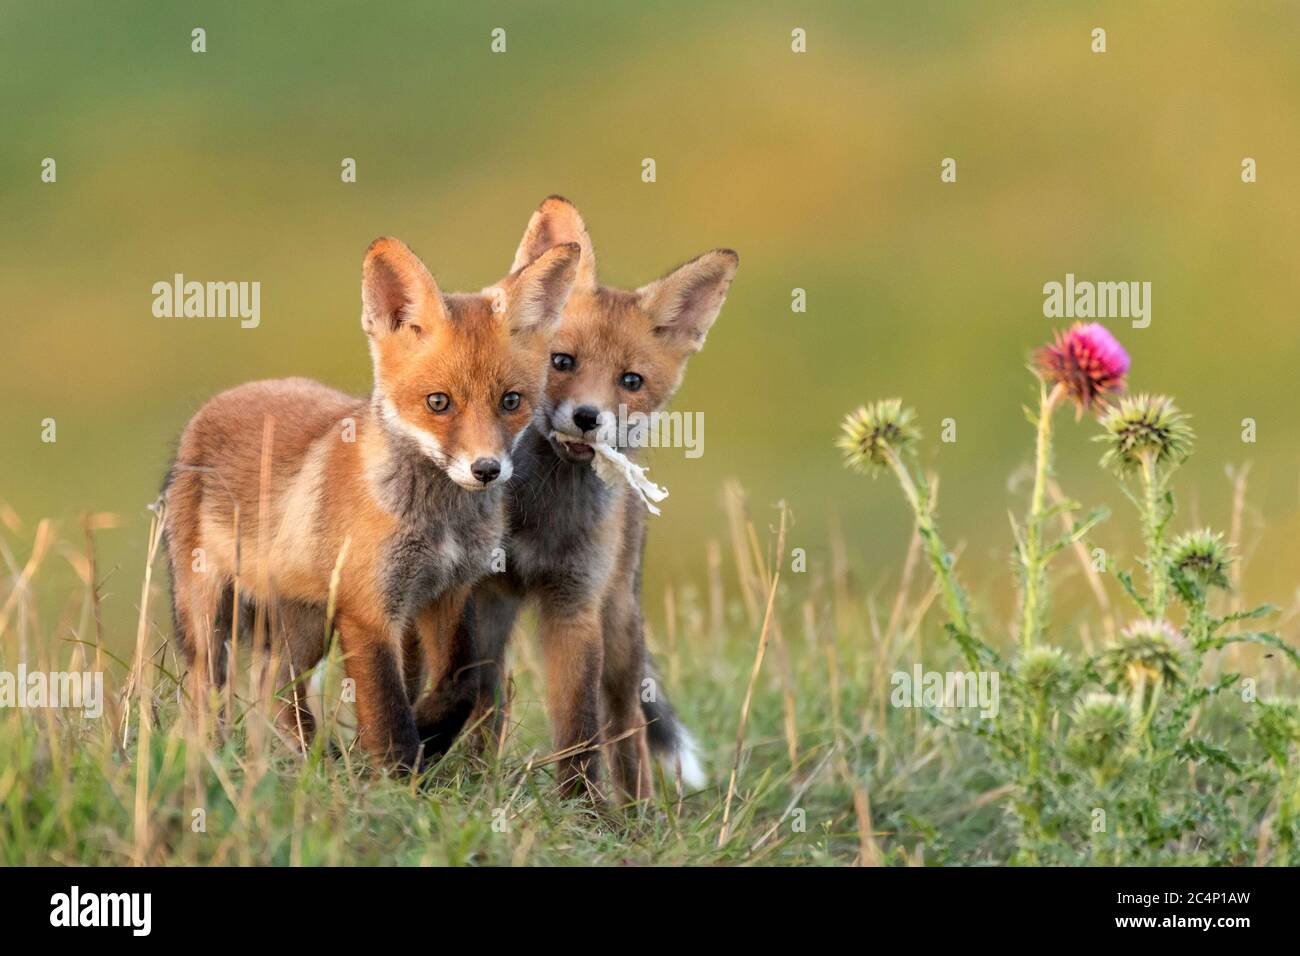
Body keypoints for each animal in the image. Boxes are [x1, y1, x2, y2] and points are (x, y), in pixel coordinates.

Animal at [161, 235, 580, 769]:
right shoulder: (369, 609)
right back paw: (214, 760)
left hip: (308, 620)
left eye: (511, 401)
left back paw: (312, 761)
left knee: (273, 686)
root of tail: (213, 406)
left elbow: (461, 684)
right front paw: (398, 772)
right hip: (209, 615)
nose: (486, 469)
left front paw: (430, 734)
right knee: (207, 694)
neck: (438, 523)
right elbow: (386, 709)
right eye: (438, 402)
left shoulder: (448, 592)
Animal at [456, 196, 738, 799]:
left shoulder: (575, 603)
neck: (539, 514)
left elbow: (579, 728)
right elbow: (478, 698)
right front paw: (461, 781)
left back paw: (637, 811)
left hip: (621, 626)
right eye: (561, 362)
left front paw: (581, 808)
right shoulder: (482, 593)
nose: (588, 417)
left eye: (630, 381)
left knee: (626, 725)